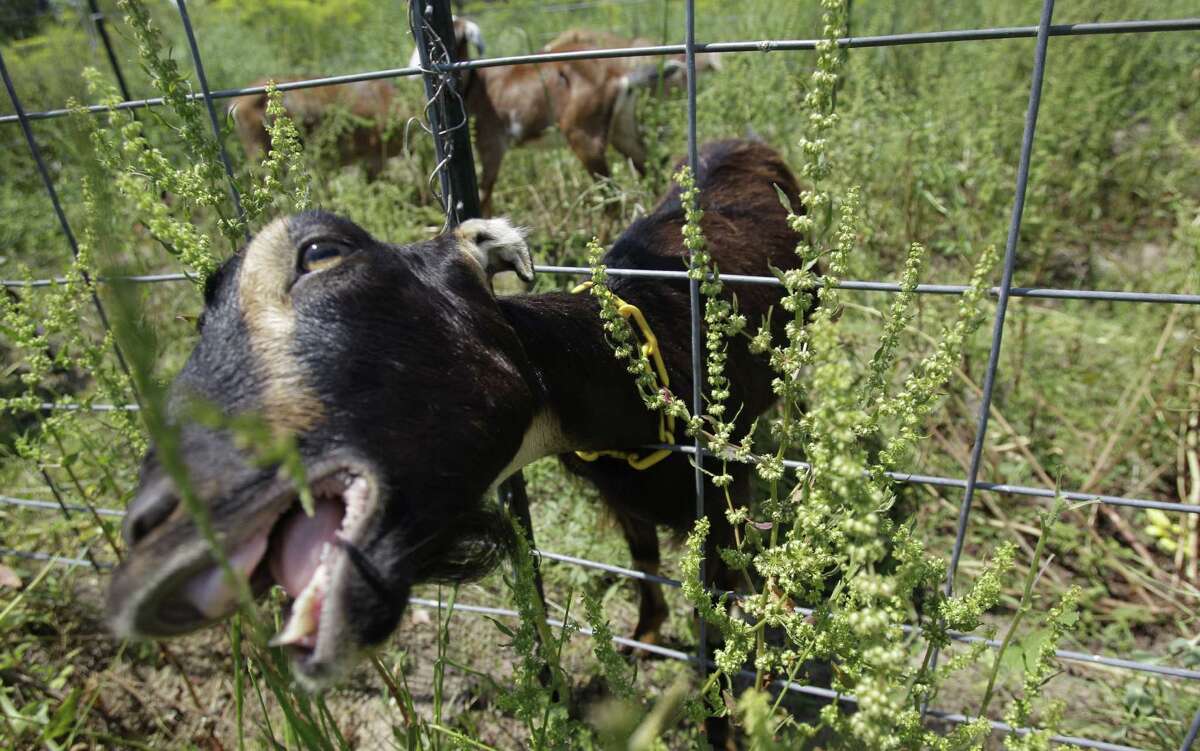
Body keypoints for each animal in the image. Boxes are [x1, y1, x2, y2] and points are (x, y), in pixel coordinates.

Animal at [106, 139, 801, 693]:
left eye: (321, 252)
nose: (148, 532)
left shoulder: (722, 514)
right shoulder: (620, 496)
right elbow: (644, 566)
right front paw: (639, 644)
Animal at [415, 25, 718, 215]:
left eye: (457, 35)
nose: (418, 65)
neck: (477, 84)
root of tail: (618, 75)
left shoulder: (491, 143)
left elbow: (485, 195)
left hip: (583, 135)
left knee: (611, 199)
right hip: (622, 128)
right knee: (649, 168)